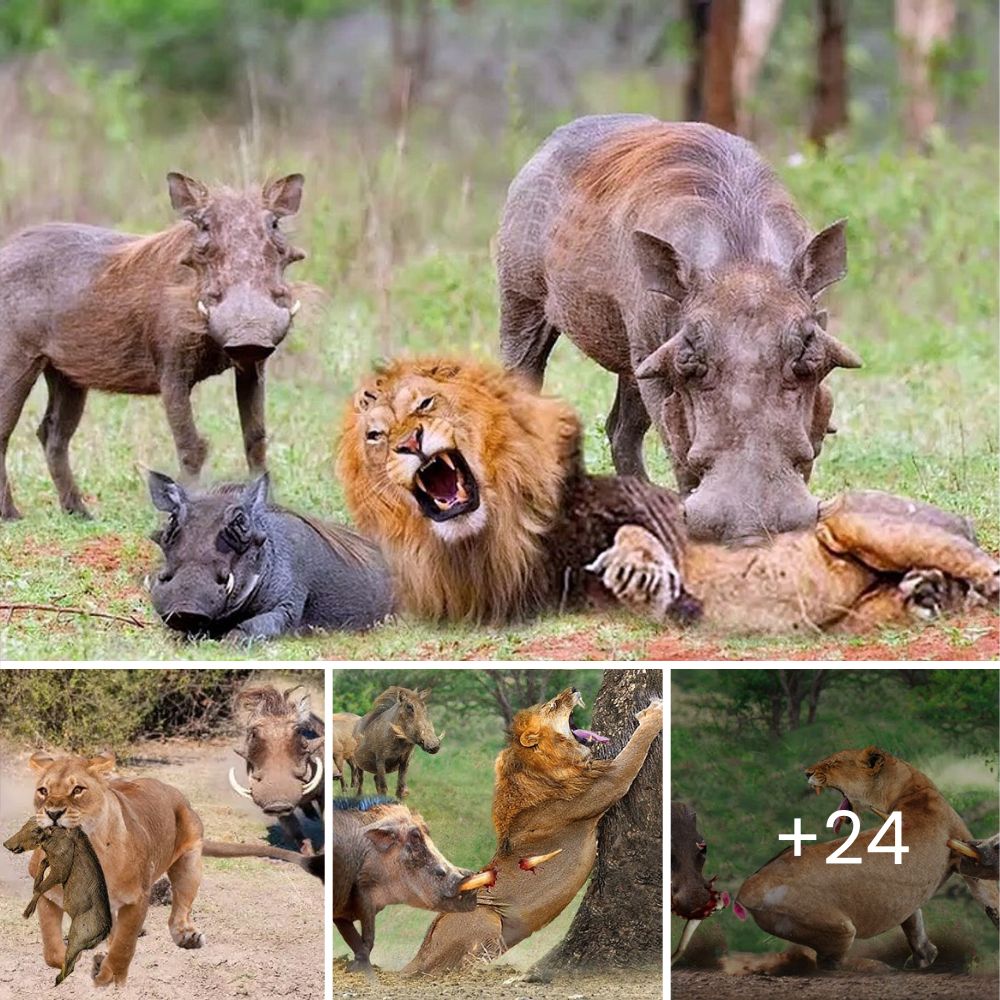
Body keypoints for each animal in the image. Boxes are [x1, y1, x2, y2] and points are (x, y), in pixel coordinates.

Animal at [25, 751, 319, 987]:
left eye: (78, 790)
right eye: (43, 791)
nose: (53, 813)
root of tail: (172, 791)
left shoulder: (137, 898)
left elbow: (123, 946)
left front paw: (108, 974)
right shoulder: (47, 896)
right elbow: (51, 950)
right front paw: (72, 959)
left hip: (189, 863)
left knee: (179, 910)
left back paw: (186, 937)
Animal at [337, 356, 998, 633]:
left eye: (426, 404)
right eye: (376, 434)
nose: (410, 443)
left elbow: (639, 535)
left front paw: (638, 565)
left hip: (862, 521)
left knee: (979, 565)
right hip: (862, 608)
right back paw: (927, 593)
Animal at [401, 687, 663, 974]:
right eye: (553, 705)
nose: (573, 689)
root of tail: (420, 954)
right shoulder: (613, 781)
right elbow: (636, 746)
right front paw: (654, 713)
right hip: (486, 917)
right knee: (462, 967)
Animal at [735, 747, 1000, 971]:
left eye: (833, 762)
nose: (806, 773)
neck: (908, 790)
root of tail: (748, 888)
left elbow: (913, 922)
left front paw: (925, 957)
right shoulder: (965, 853)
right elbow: (989, 896)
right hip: (839, 928)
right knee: (829, 965)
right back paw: (877, 967)